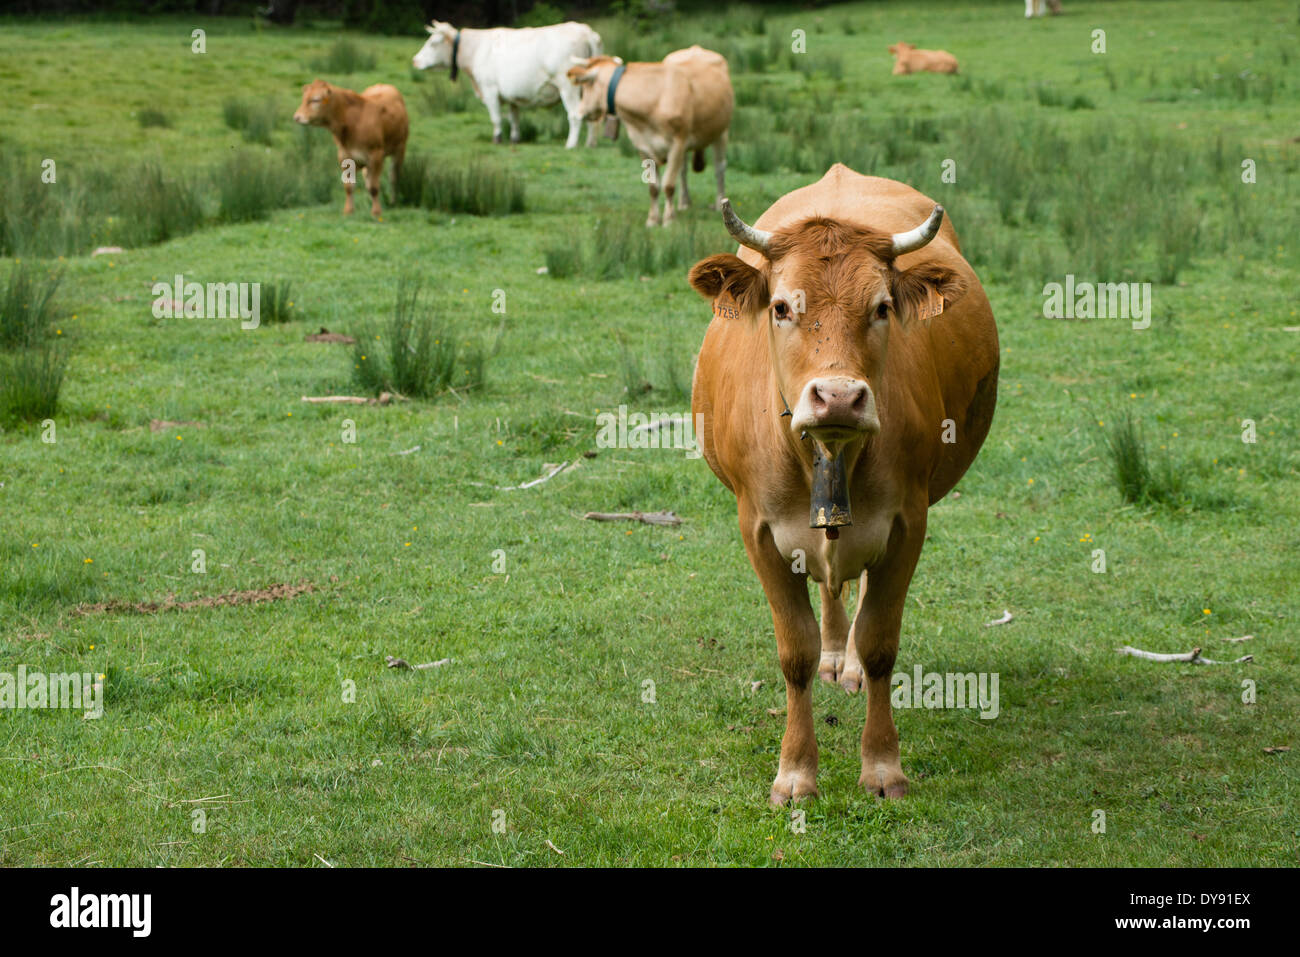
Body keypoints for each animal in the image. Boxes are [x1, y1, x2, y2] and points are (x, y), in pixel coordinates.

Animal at [292, 79, 408, 219]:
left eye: (315, 100)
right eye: (304, 98)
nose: (297, 117)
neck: (353, 121)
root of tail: (383, 85)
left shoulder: (376, 155)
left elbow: (374, 187)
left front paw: (376, 212)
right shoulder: (344, 156)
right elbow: (349, 186)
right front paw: (348, 211)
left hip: (400, 148)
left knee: (394, 176)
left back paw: (393, 201)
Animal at [411, 20, 603, 149]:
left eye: (432, 43)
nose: (415, 60)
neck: (476, 49)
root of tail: (585, 31)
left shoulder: (489, 90)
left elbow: (496, 118)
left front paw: (497, 139)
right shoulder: (512, 96)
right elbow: (514, 118)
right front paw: (515, 139)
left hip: (568, 87)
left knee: (575, 114)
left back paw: (571, 144)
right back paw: (590, 143)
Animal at [567, 47, 732, 227]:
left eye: (585, 86)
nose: (580, 112)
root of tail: (696, 48)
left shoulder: (677, 143)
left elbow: (668, 185)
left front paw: (668, 220)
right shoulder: (643, 146)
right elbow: (653, 187)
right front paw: (653, 219)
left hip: (721, 131)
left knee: (719, 168)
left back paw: (718, 202)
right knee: (683, 171)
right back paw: (684, 202)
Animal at [686, 164, 1000, 804]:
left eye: (881, 307)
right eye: (782, 307)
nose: (837, 397)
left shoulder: (907, 525)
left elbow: (880, 643)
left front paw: (882, 766)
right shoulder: (759, 532)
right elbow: (795, 652)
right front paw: (795, 772)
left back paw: (848, 662)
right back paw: (835, 655)